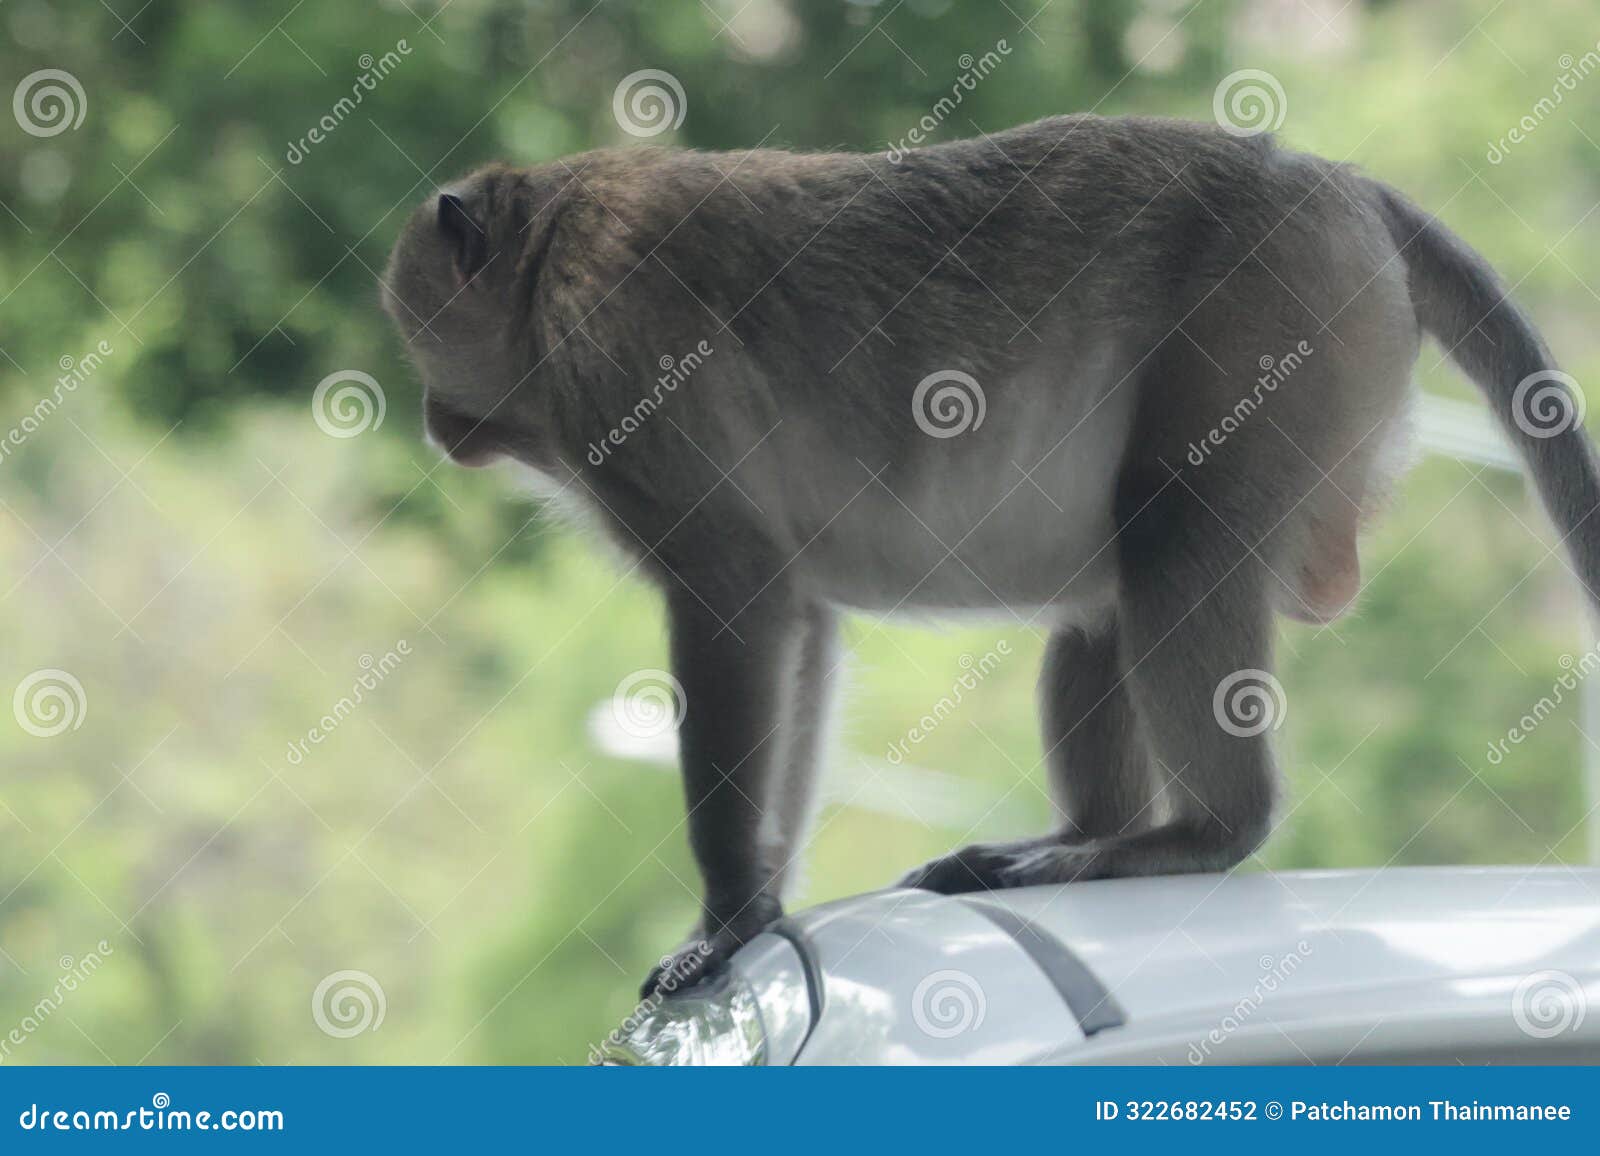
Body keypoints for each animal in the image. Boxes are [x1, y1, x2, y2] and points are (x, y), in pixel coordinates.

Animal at [381, 114, 1600, 996]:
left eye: (415, 329)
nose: (436, 424)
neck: (549, 252)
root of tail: (1338, 184)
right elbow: (798, 617)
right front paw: (764, 898)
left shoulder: (611, 350)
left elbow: (734, 593)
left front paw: (727, 918)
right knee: (1111, 587)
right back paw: (1084, 832)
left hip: (1280, 321)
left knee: (1170, 536)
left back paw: (1194, 834)